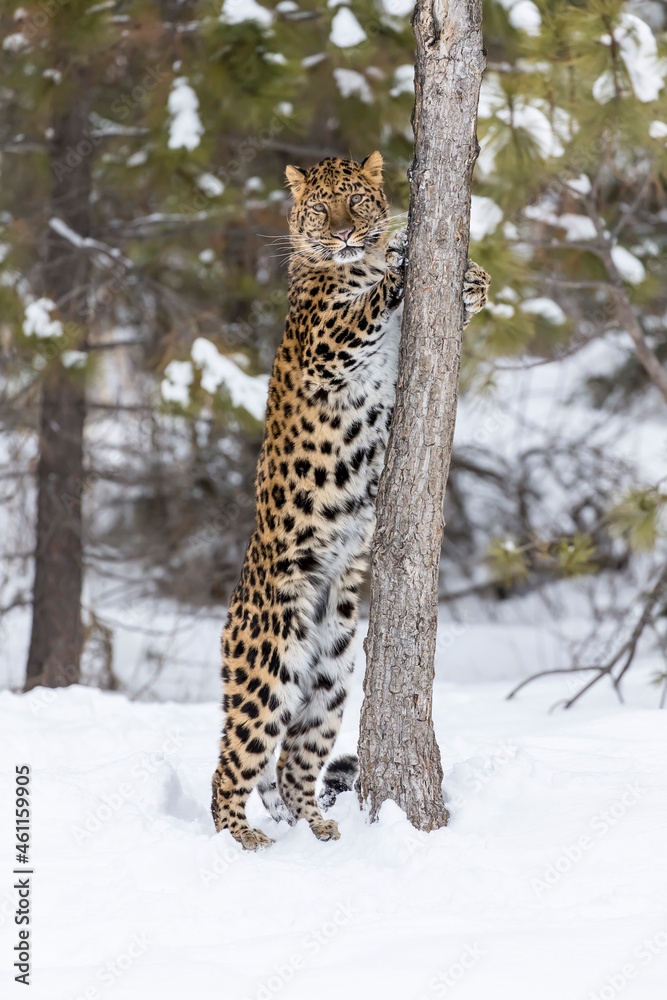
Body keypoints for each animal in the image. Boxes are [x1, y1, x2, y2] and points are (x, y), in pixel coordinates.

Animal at [211, 151, 490, 850]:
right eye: (320, 208)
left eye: (357, 201)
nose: (342, 233)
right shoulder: (327, 341)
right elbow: (365, 306)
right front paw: (401, 266)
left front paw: (474, 280)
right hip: (265, 670)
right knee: (231, 762)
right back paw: (241, 841)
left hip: (331, 681)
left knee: (292, 765)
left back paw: (319, 830)